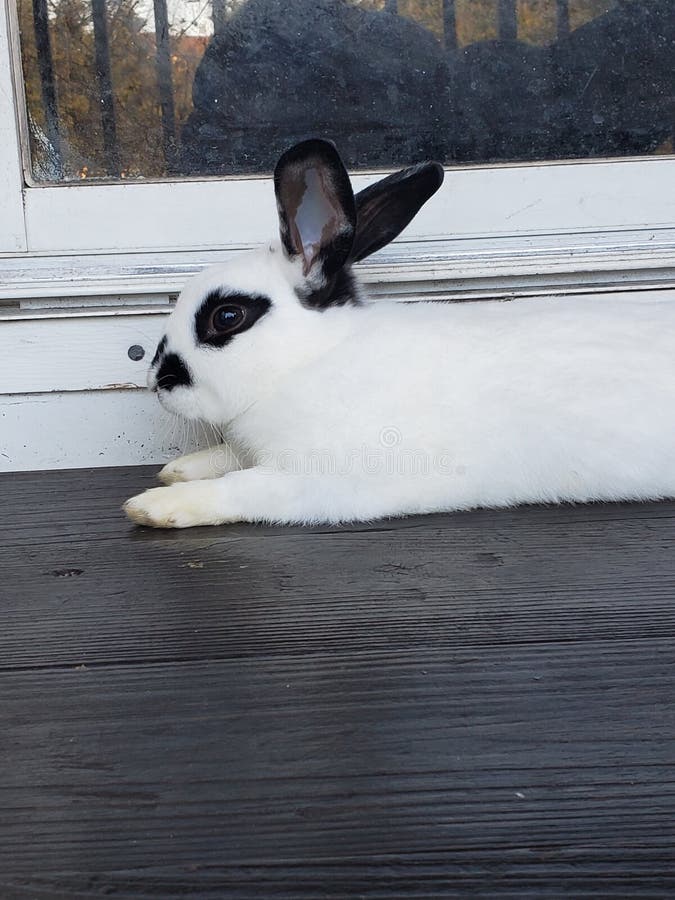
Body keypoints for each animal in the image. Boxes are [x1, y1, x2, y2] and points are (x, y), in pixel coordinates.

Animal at [124, 138, 675, 528]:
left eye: (227, 318)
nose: (155, 381)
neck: (305, 362)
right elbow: (227, 458)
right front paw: (179, 469)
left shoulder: (311, 478)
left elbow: (243, 488)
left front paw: (158, 504)